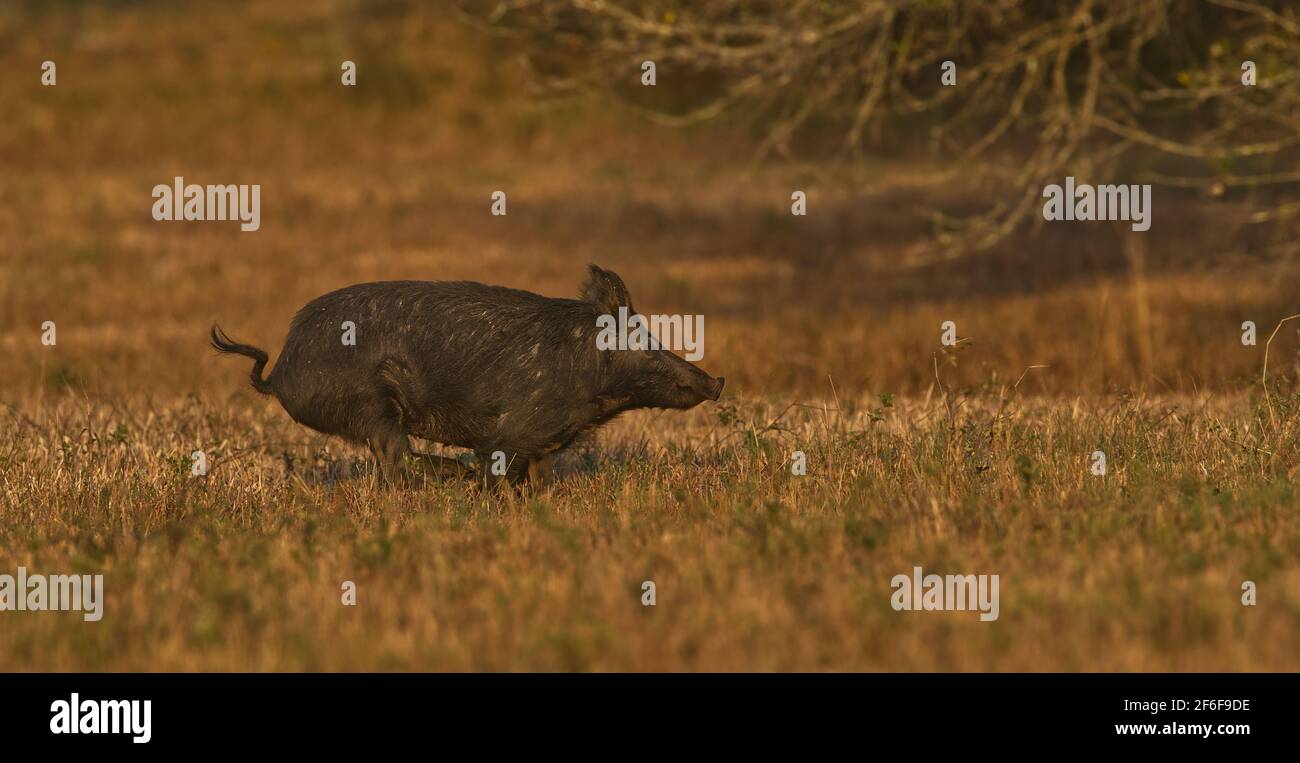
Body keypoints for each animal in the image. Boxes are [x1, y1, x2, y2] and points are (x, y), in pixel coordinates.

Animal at [210, 265, 724, 484]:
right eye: (643, 341)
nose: (716, 381)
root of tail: (278, 371)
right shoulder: (510, 433)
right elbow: (499, 471)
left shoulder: (543, 445)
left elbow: (542, 480)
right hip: (373, 405)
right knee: (396, 457)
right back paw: (456, 475)